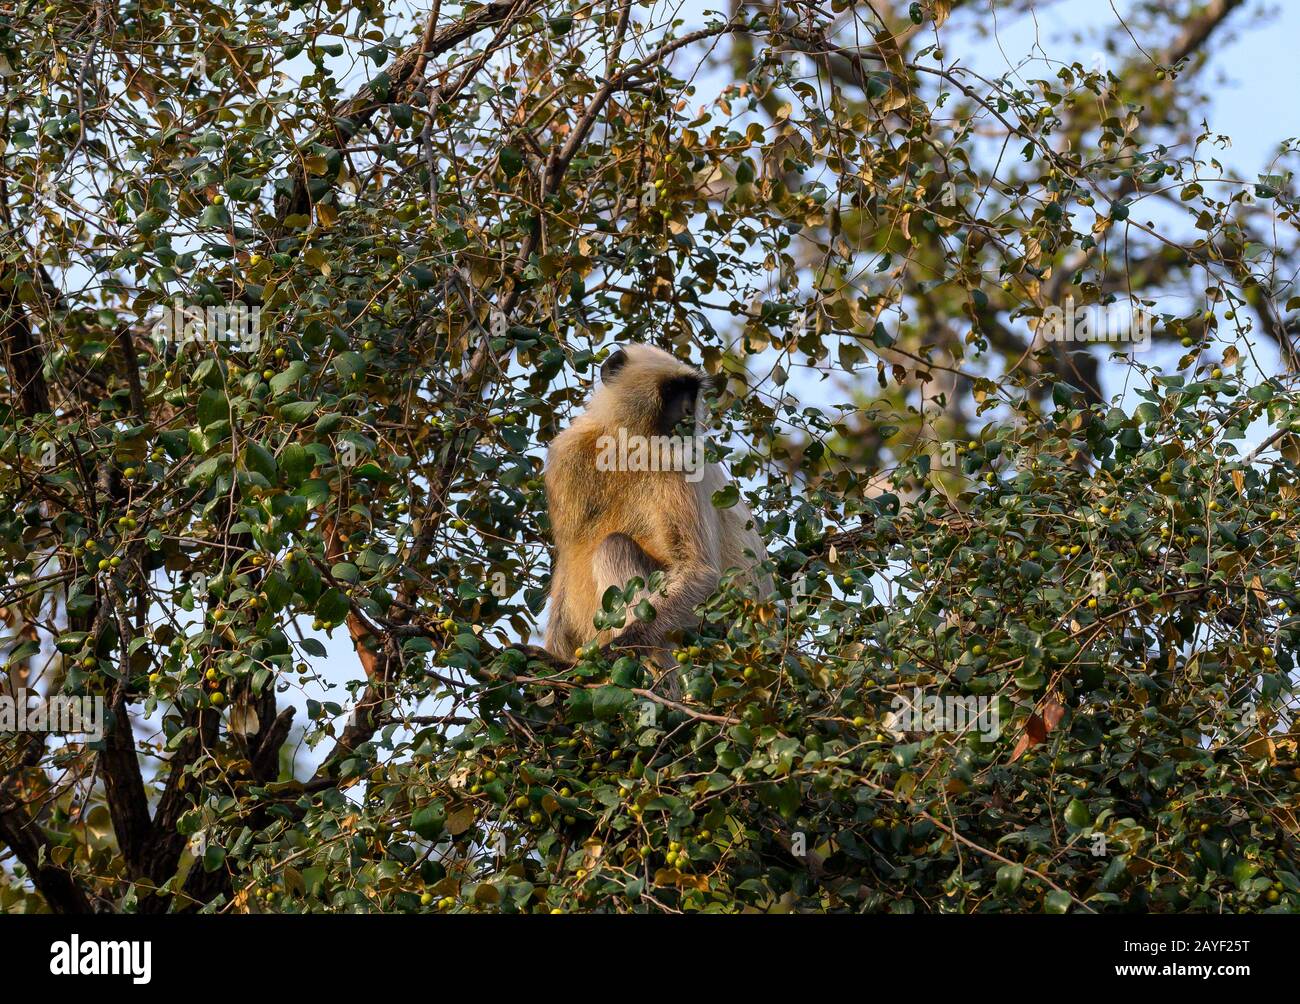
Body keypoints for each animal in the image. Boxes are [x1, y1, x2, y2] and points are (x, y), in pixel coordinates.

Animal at [543, 343, 772, 683]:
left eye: (690, 392)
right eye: (673, 391)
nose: (689, 411)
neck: (625, 447)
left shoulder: (679, 462)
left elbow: (701, 574)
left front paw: (605, 657)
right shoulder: (568, 454)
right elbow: (567, 559)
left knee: (614, 546)